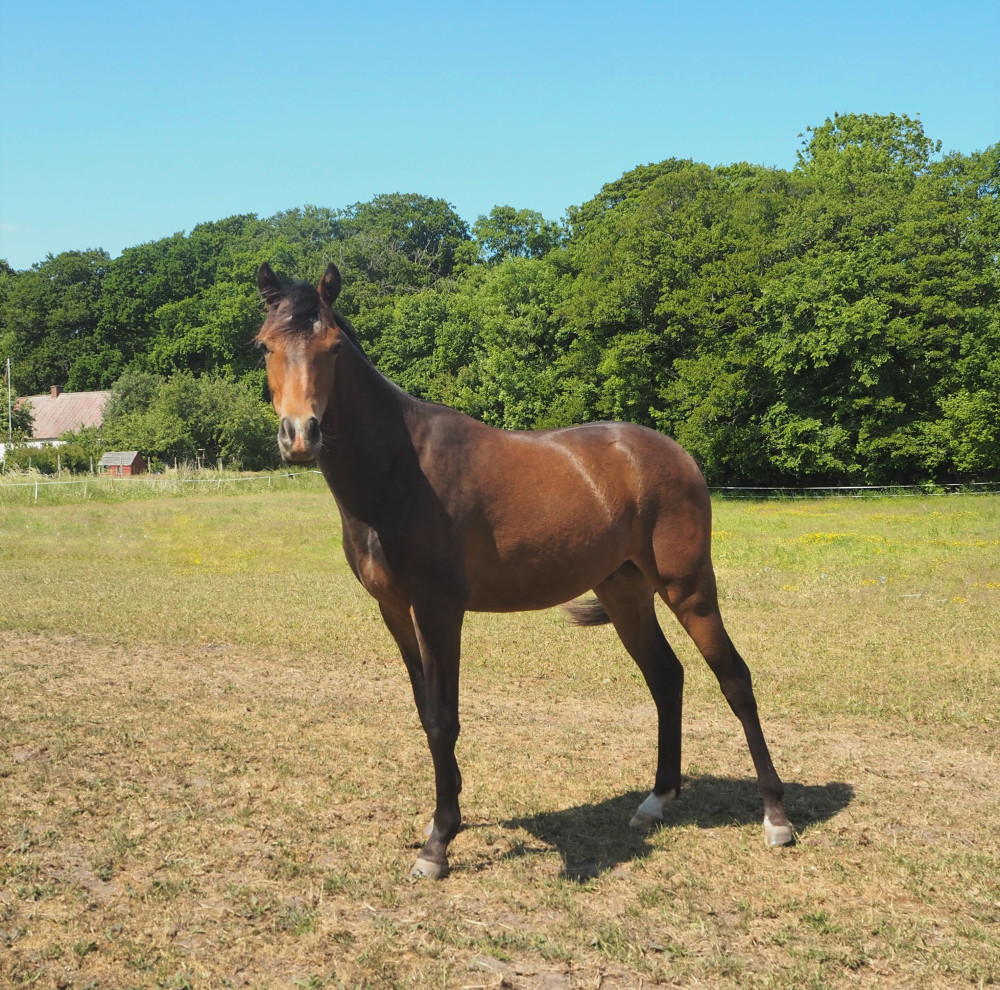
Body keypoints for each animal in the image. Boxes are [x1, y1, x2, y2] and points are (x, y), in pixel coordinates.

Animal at [255, 262, 794, 878]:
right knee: (666, 678)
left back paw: (776, 816)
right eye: (264, 346)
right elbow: (425, 710)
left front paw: (439, 843)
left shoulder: (439, 609)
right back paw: (657, 800)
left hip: (689, 589)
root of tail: (675, 454)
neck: (398, 468)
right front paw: (448, 815)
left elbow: (444, 718)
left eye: (334, 347)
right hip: (625, 593)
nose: (300, 435)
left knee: (735, 680)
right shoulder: (394, 610)